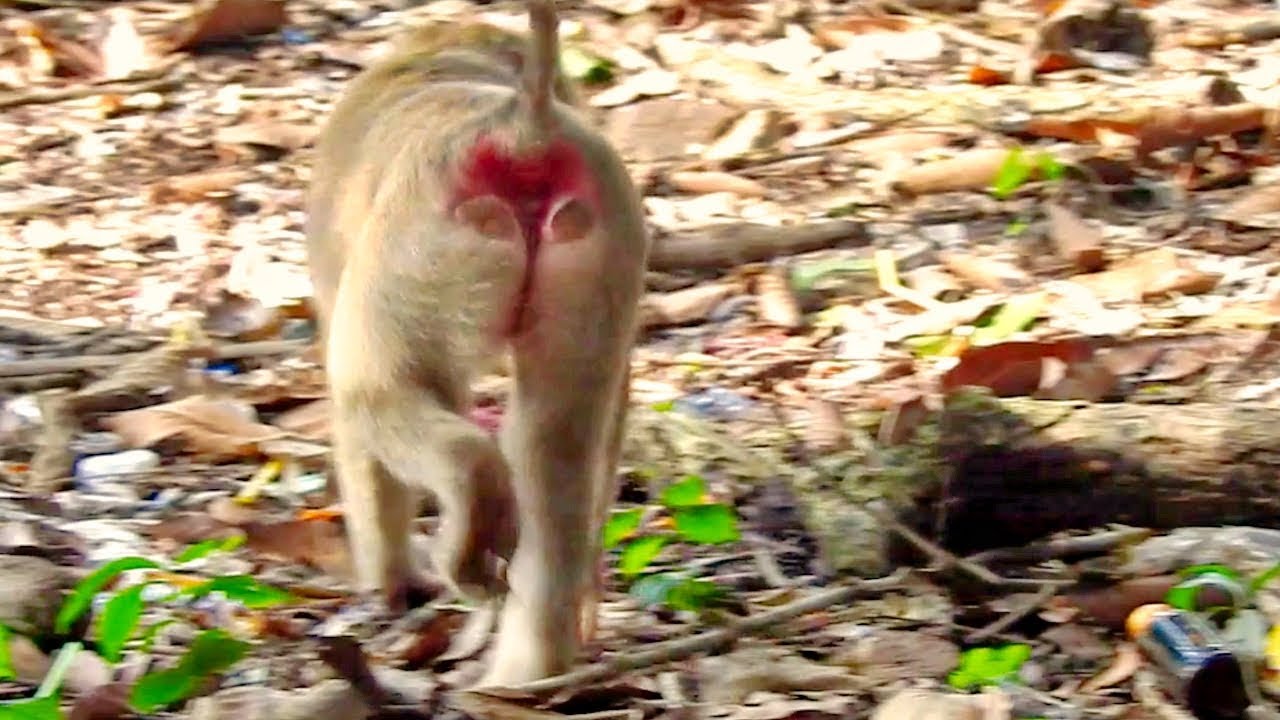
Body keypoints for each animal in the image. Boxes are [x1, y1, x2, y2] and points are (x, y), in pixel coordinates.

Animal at [305, 0, 649, 687]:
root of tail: (523, 130)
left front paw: (390, 585)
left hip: (417, 249)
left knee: (374, 390)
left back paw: (468, 508)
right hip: (597, 247)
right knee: (555, 442)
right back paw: (533, 668)